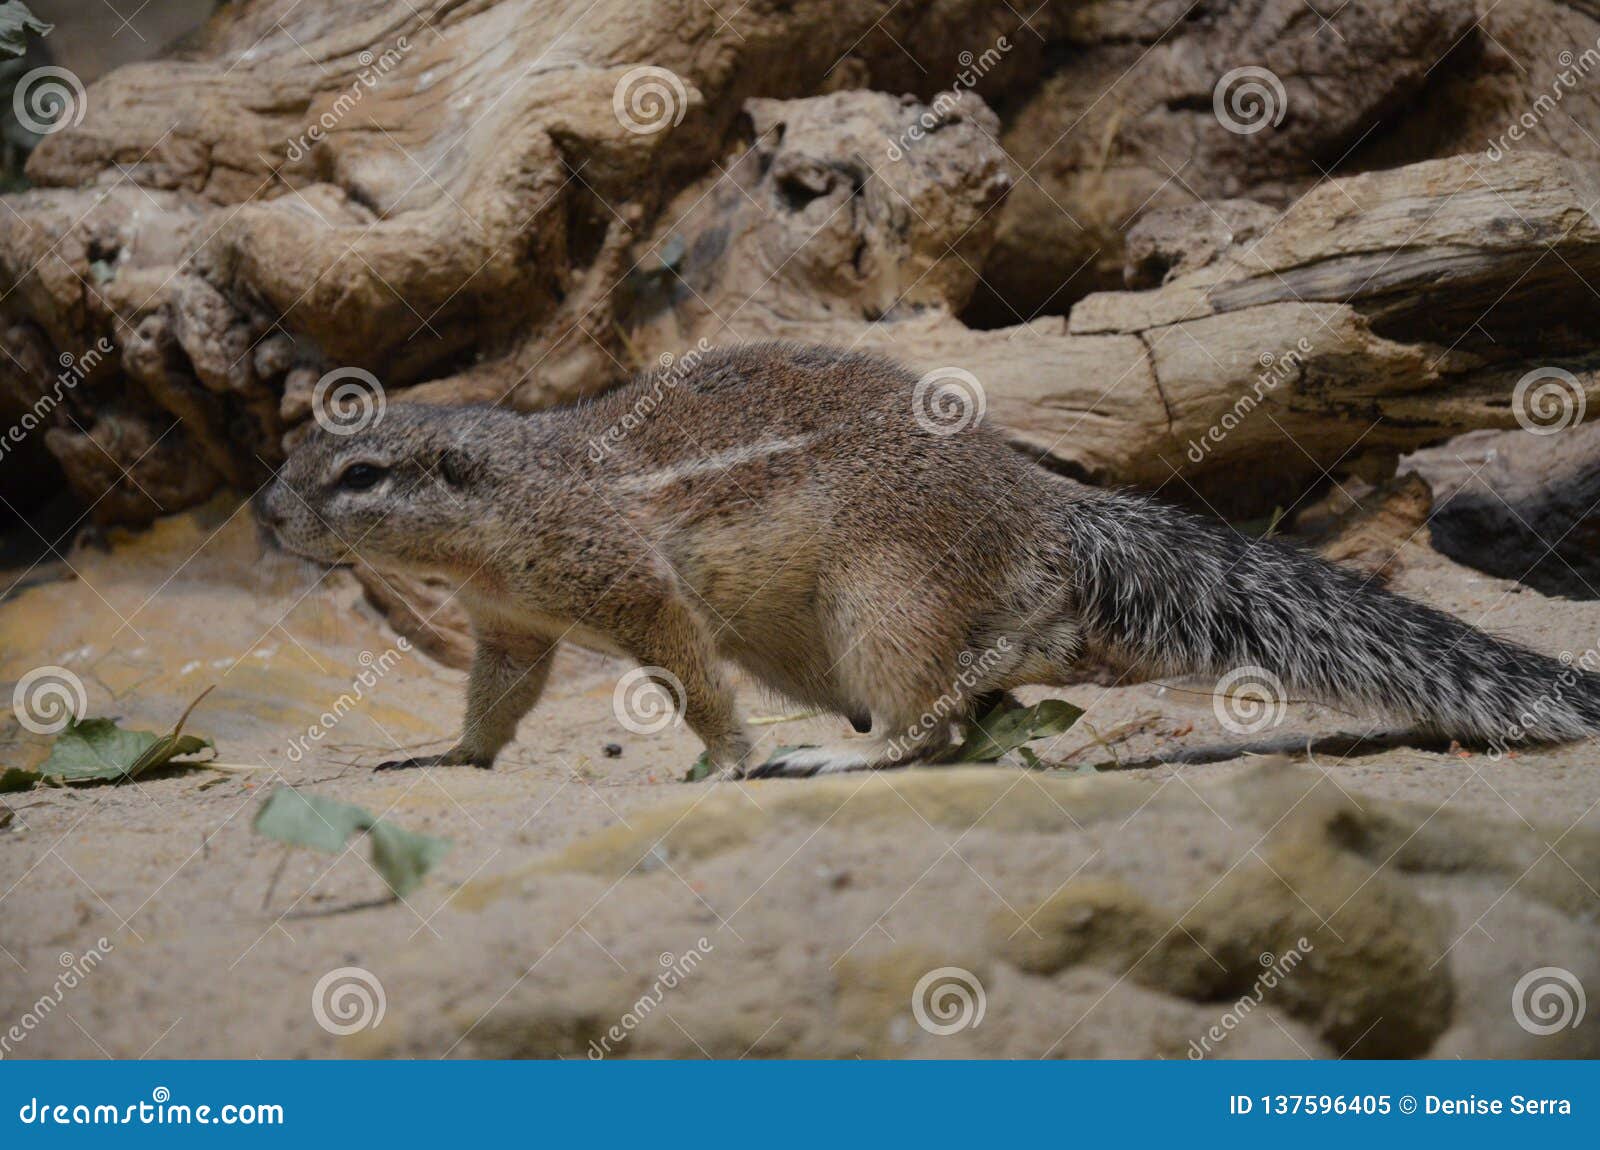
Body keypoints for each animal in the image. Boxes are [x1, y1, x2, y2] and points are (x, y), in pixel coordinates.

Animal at [258, 341, 1600, 777]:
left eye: (361, 475)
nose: (268, 513)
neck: (523, 490)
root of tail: (1042, 506)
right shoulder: (513, 623)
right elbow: (498, 699)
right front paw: (445, 752)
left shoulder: (625, 579)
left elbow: (689, 668)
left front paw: (727, 756)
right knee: (981, 688)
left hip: (883, 596)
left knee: (929, 720)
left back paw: (827, 756)